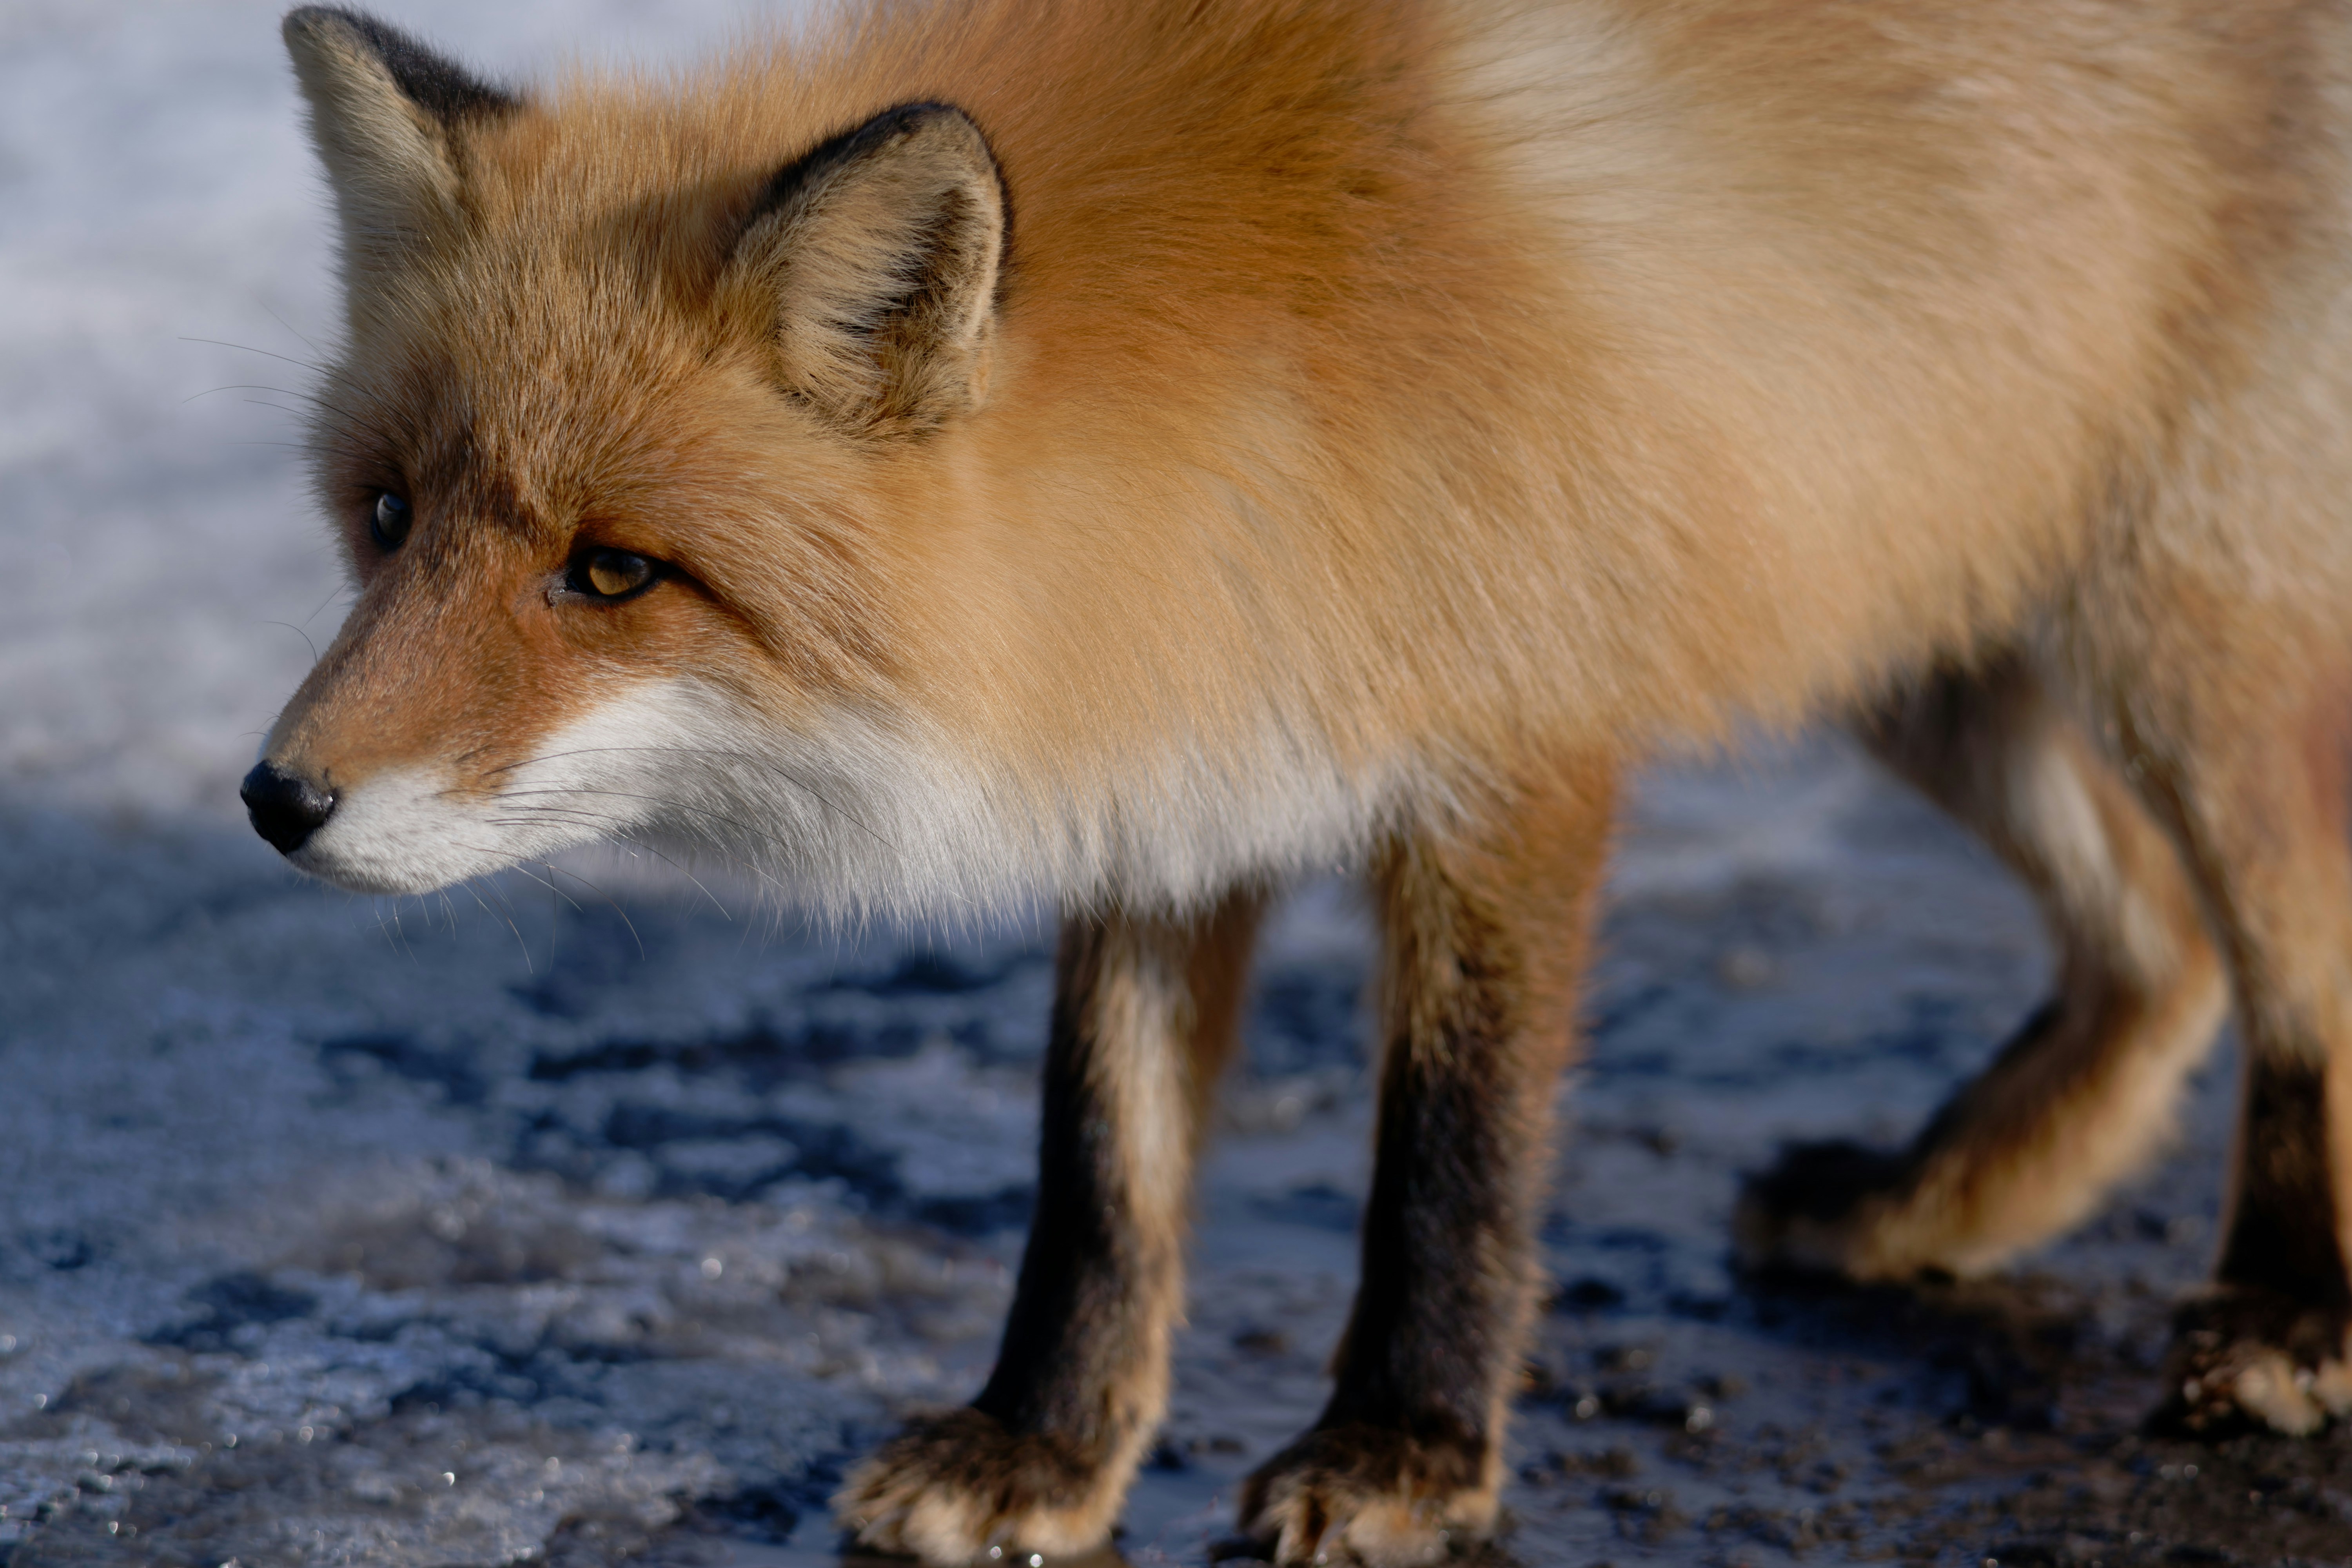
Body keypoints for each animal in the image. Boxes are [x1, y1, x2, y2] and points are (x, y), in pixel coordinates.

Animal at [246, 1, 2352, 1561]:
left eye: (613, 571)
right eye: (388, 518)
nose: (278, 800)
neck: (1268, 366)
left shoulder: (1516, 753)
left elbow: (1449, 1154)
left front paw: (1401, 1450)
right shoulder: (1168, 776)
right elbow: (1100, 1168)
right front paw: (1046, 1448)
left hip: (2167, 629)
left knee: (2289, 953)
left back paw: (2282, 1303)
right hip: (1914, 615)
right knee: (2154, 951)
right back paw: (1939, 1195)